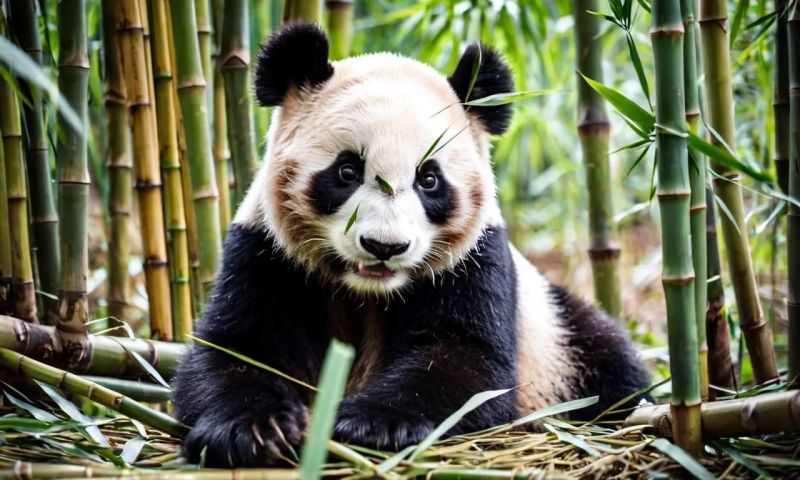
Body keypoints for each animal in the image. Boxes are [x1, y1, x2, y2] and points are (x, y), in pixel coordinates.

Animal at [172, 22, 650, 467]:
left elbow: (463, 360)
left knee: (611, 361)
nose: (384, 246)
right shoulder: (268, 252)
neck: (368, 292)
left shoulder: (474, 260)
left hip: (560, 339)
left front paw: (373, 424)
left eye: (430, 179)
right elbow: (239, 346)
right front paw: (252, 431)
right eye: (347, 171)